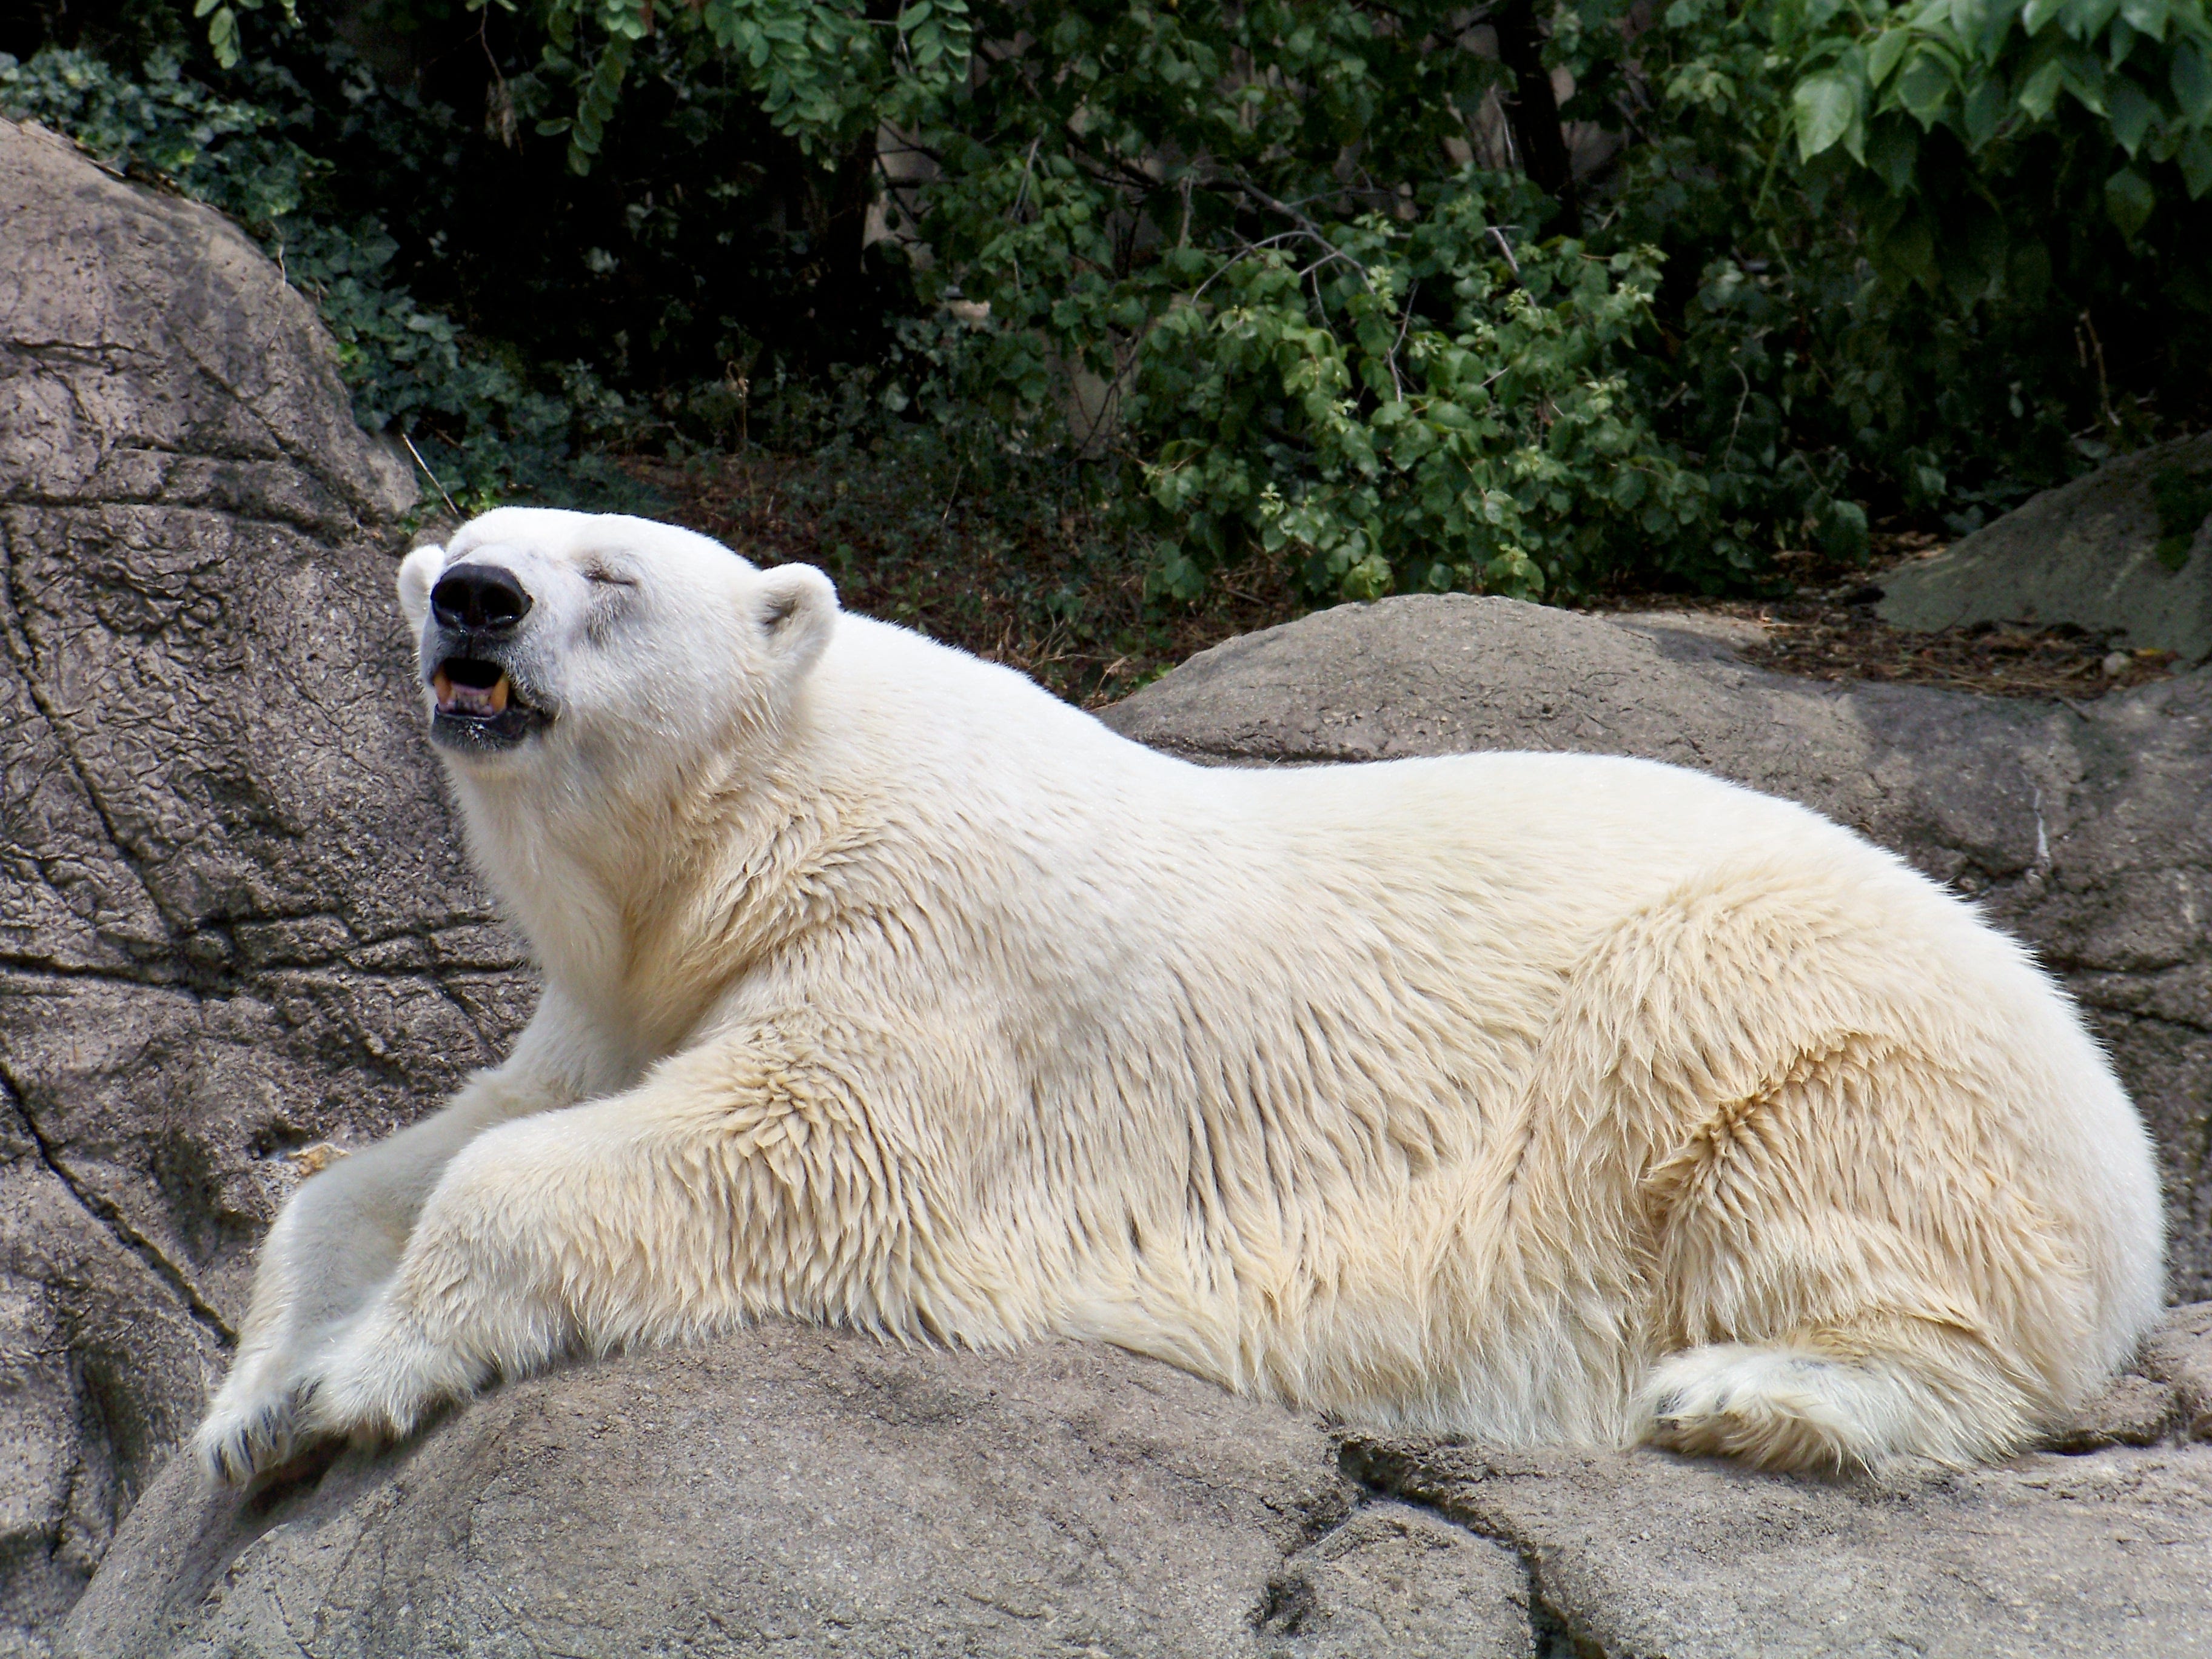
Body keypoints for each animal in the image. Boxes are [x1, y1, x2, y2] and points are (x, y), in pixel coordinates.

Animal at [194, 506, 2165, 1485]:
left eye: (607, 574)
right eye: (460, 540)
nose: (473, 597)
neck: (767, 806)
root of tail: (2130, 1157)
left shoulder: (918, 943)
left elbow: (768, 1139)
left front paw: (357, 1378)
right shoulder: (636, 983)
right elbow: (430, 1144)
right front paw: (252, 1400)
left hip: (1785, 1001)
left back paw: (1752, 1392)